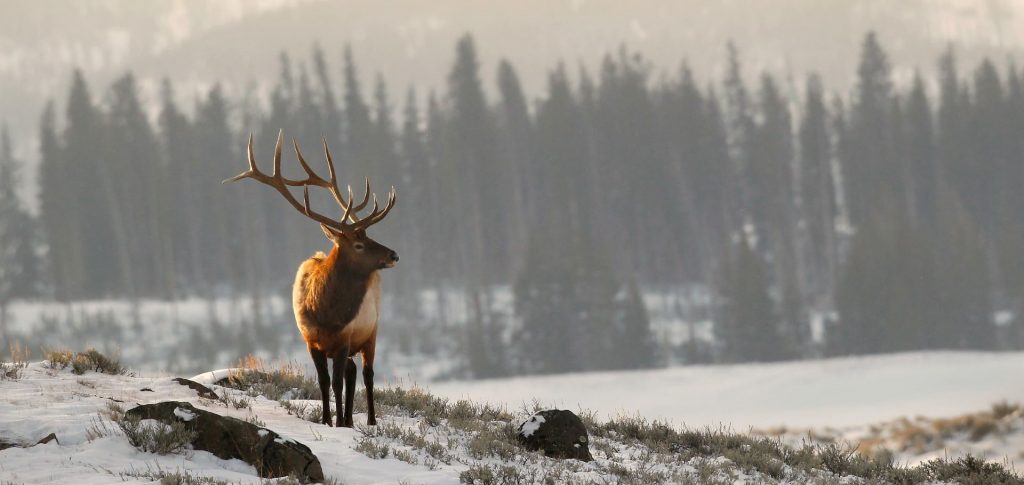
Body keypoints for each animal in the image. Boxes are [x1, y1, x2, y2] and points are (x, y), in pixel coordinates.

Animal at [224, 130, 398, 427]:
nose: (394, 254)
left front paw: (337, 422)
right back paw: (350, 418)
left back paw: (370, 420)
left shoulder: (344, 339)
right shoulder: (311, 341)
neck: (326, 313)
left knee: (367, 374)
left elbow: (337, 382)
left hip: (372, 331)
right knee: (354, 372)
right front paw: (329, 420)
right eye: (359, 245)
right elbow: (325, 381)